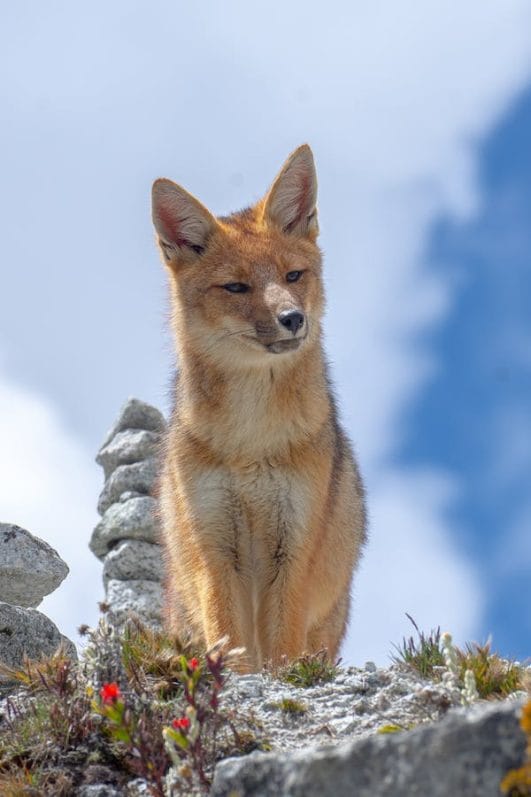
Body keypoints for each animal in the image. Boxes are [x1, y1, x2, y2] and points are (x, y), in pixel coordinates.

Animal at [151, 144, 367, 671]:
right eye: (236, 288)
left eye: (293, 276)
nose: (293, 318)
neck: (250, 441)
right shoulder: (215, 551)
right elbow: (229, 644)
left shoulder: (292, 549)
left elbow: (282, 652)